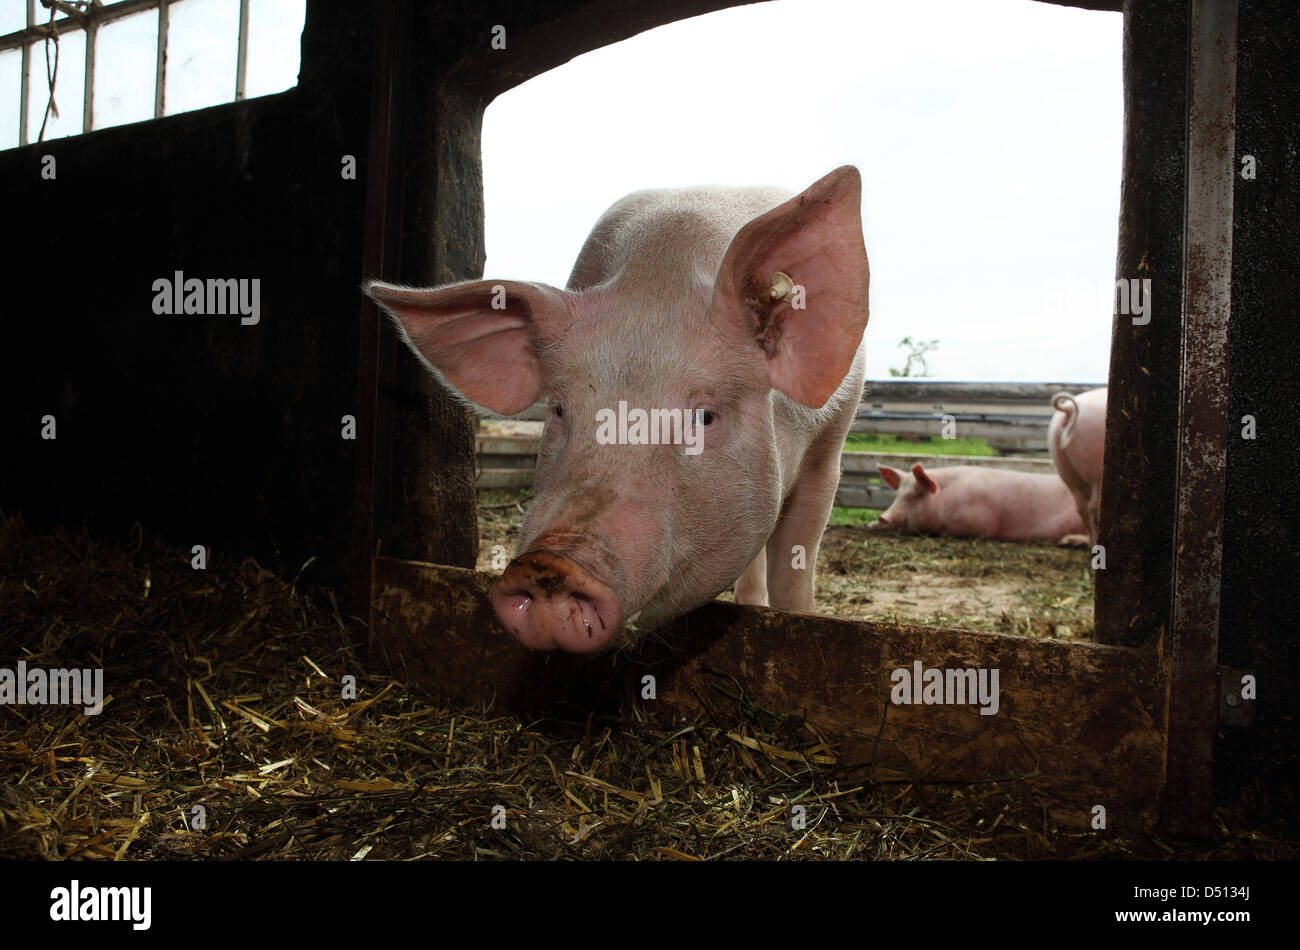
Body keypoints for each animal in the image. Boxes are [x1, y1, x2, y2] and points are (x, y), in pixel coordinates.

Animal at [365, 166, 870, 653]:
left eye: (704, 417)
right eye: (559, 409)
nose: (551, 563)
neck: (657, 279)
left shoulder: (829, 449)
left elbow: (795, 566)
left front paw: (797, 619)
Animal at [866, 463, 1089, 544]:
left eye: (916, 495)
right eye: (897, 494)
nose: (883, 517)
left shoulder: (981, 524)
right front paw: (870, 525)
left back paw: (1067, 541)